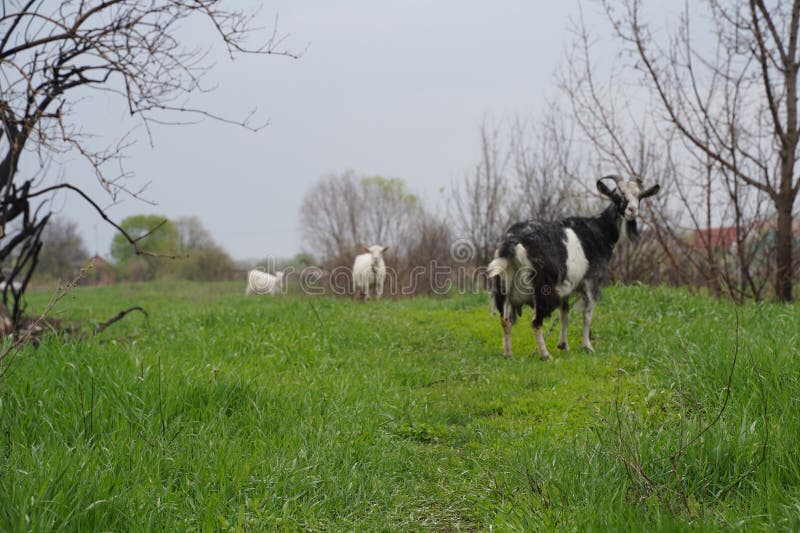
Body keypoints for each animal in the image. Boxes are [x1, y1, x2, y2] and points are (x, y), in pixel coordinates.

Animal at [487, 175, 660, 360]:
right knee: (535, 322)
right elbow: (587, 315)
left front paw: (563, 345)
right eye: (617, 196)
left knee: (505, 321)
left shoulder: (566, 287)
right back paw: (545, 355)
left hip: (504, 286)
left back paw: (508, 354)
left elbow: (565, 314)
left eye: (639, 196)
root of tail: (512, 243)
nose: (632, 210)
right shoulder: (591, 280)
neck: (600, 231)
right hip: (542, 289)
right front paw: (588, 346)